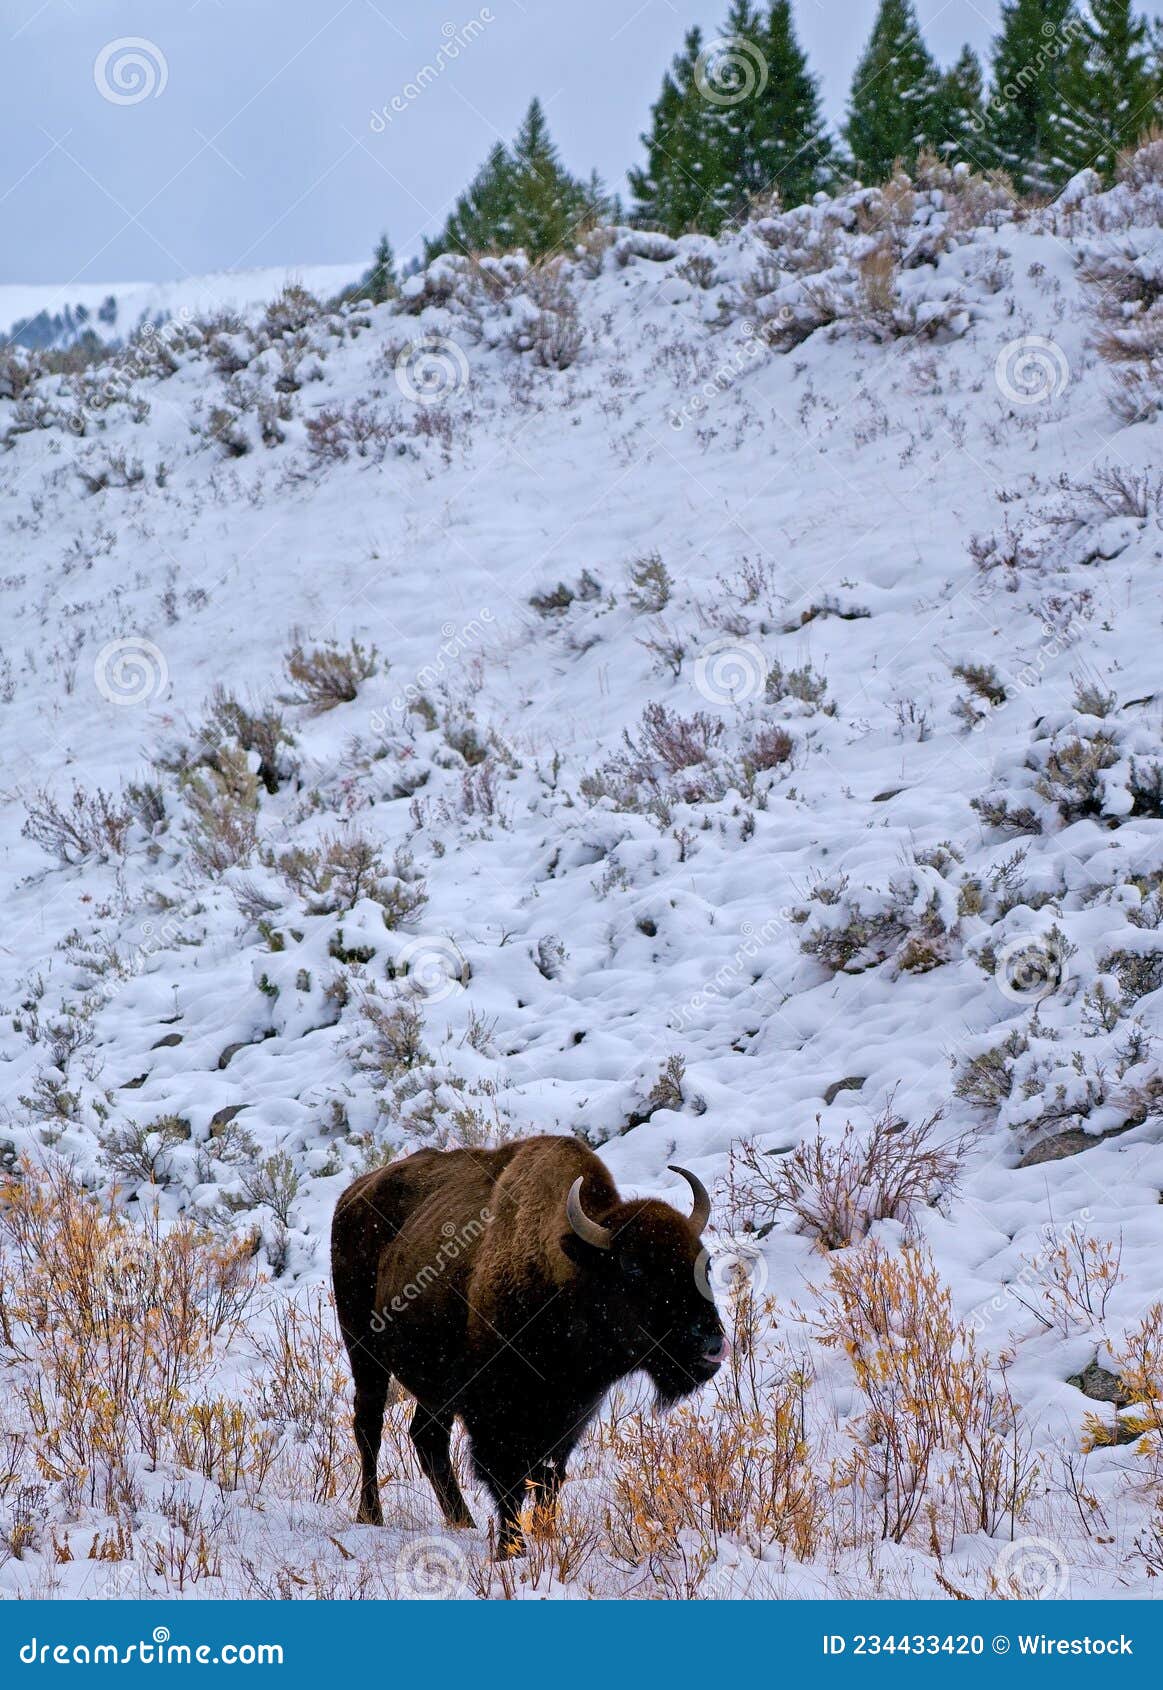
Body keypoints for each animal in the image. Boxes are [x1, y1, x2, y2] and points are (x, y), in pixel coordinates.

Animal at [331, 1133, 727, 1551]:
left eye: (705, 1263)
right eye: (633, 1267)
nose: (710, 1342)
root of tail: (353, 1195)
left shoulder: (567, 1417)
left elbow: (548, 1479)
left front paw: (544, 1538)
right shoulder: (496, 1417)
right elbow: (509, 1481)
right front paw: (511, 1549)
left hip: (435, 1388)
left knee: (427, 1437)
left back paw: (463, 1522)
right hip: (364, 1352)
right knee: (369, 1428)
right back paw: (371, 1516)